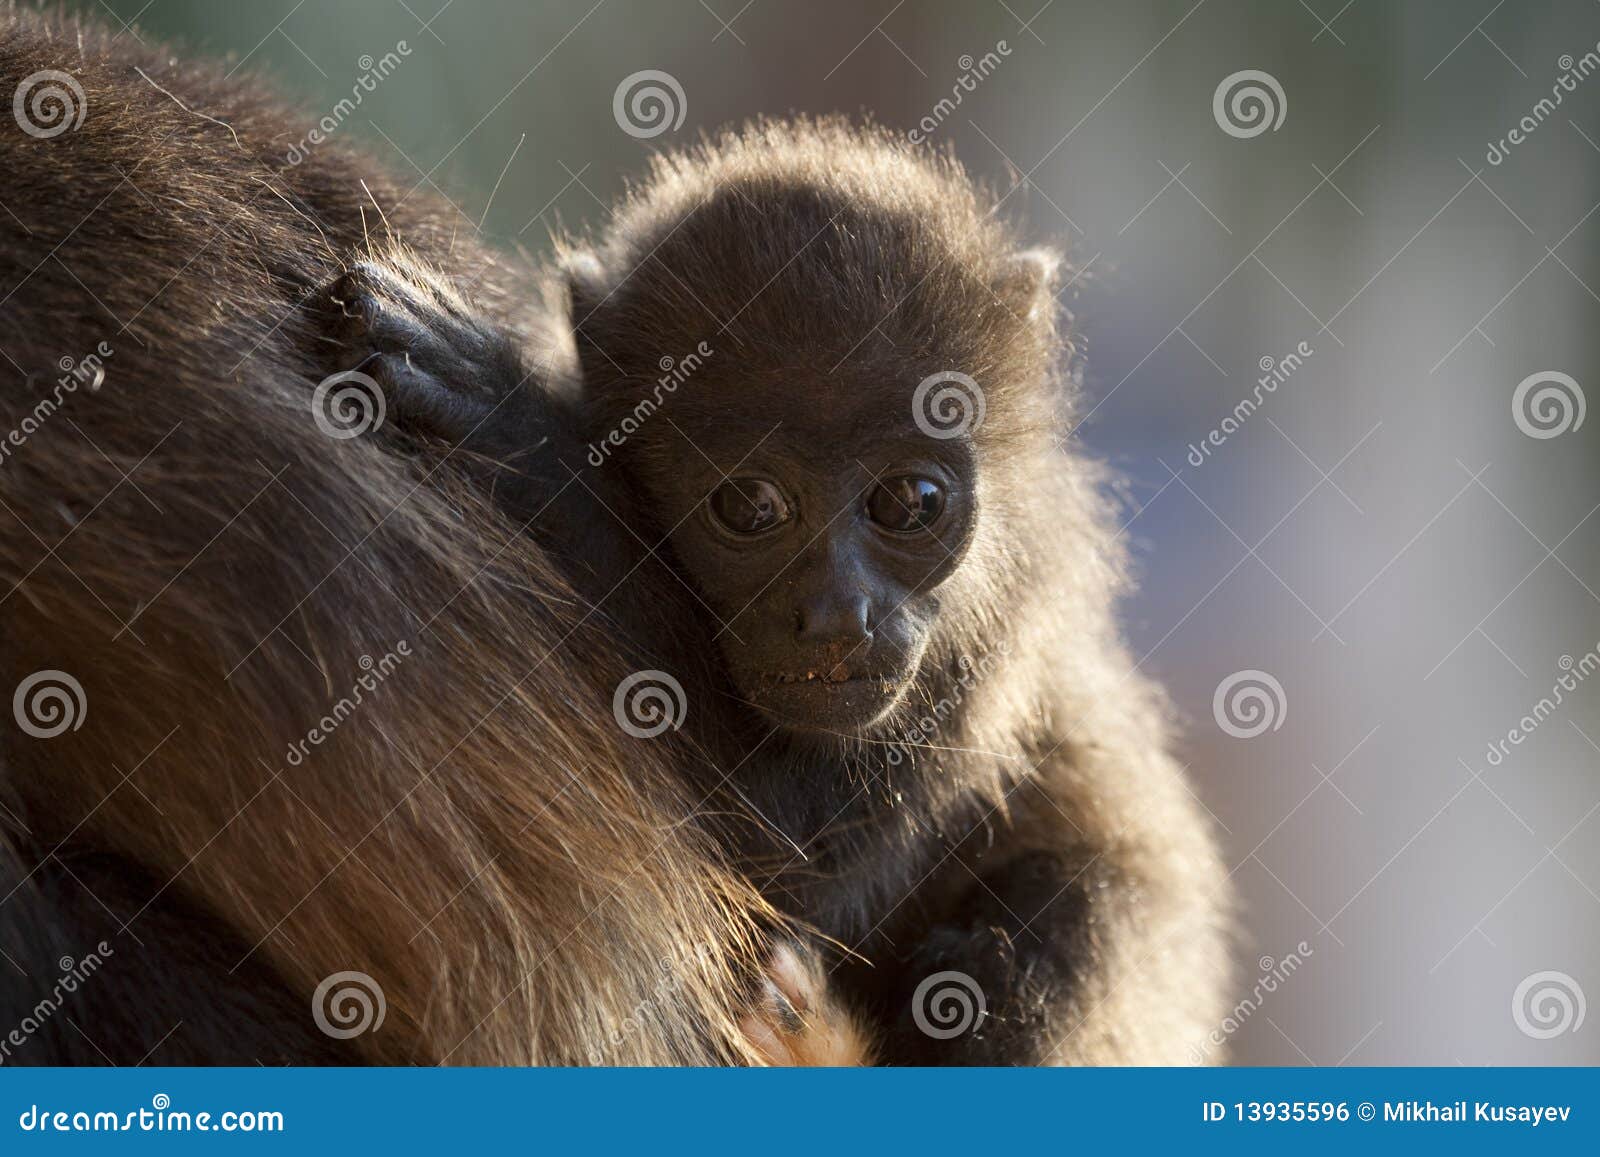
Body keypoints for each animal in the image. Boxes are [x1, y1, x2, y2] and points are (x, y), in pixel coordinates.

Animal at [316, 119, 1235, 1065]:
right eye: (750, 506)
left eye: (913, 501)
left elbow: (777, 858)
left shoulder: (1013, 598)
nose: (839, 616)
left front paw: (519, 428)